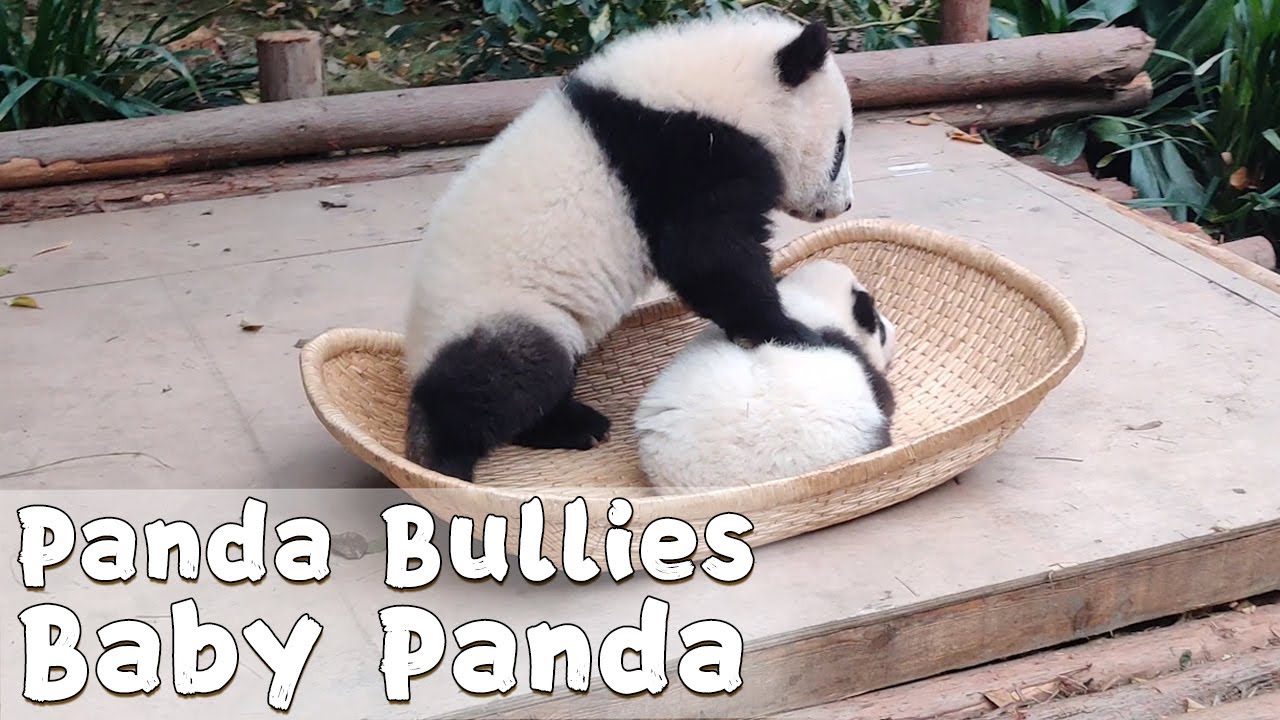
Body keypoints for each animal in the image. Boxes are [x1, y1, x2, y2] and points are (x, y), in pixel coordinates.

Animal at [403, 11, 856, 482]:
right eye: (840, 147)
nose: (844, 205)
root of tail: (416, 353)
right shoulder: (685, 159)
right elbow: (707, 257)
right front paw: (787, 329)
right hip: (503, 308)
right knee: (506, 377)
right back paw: (450, 457)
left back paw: (573, 426)